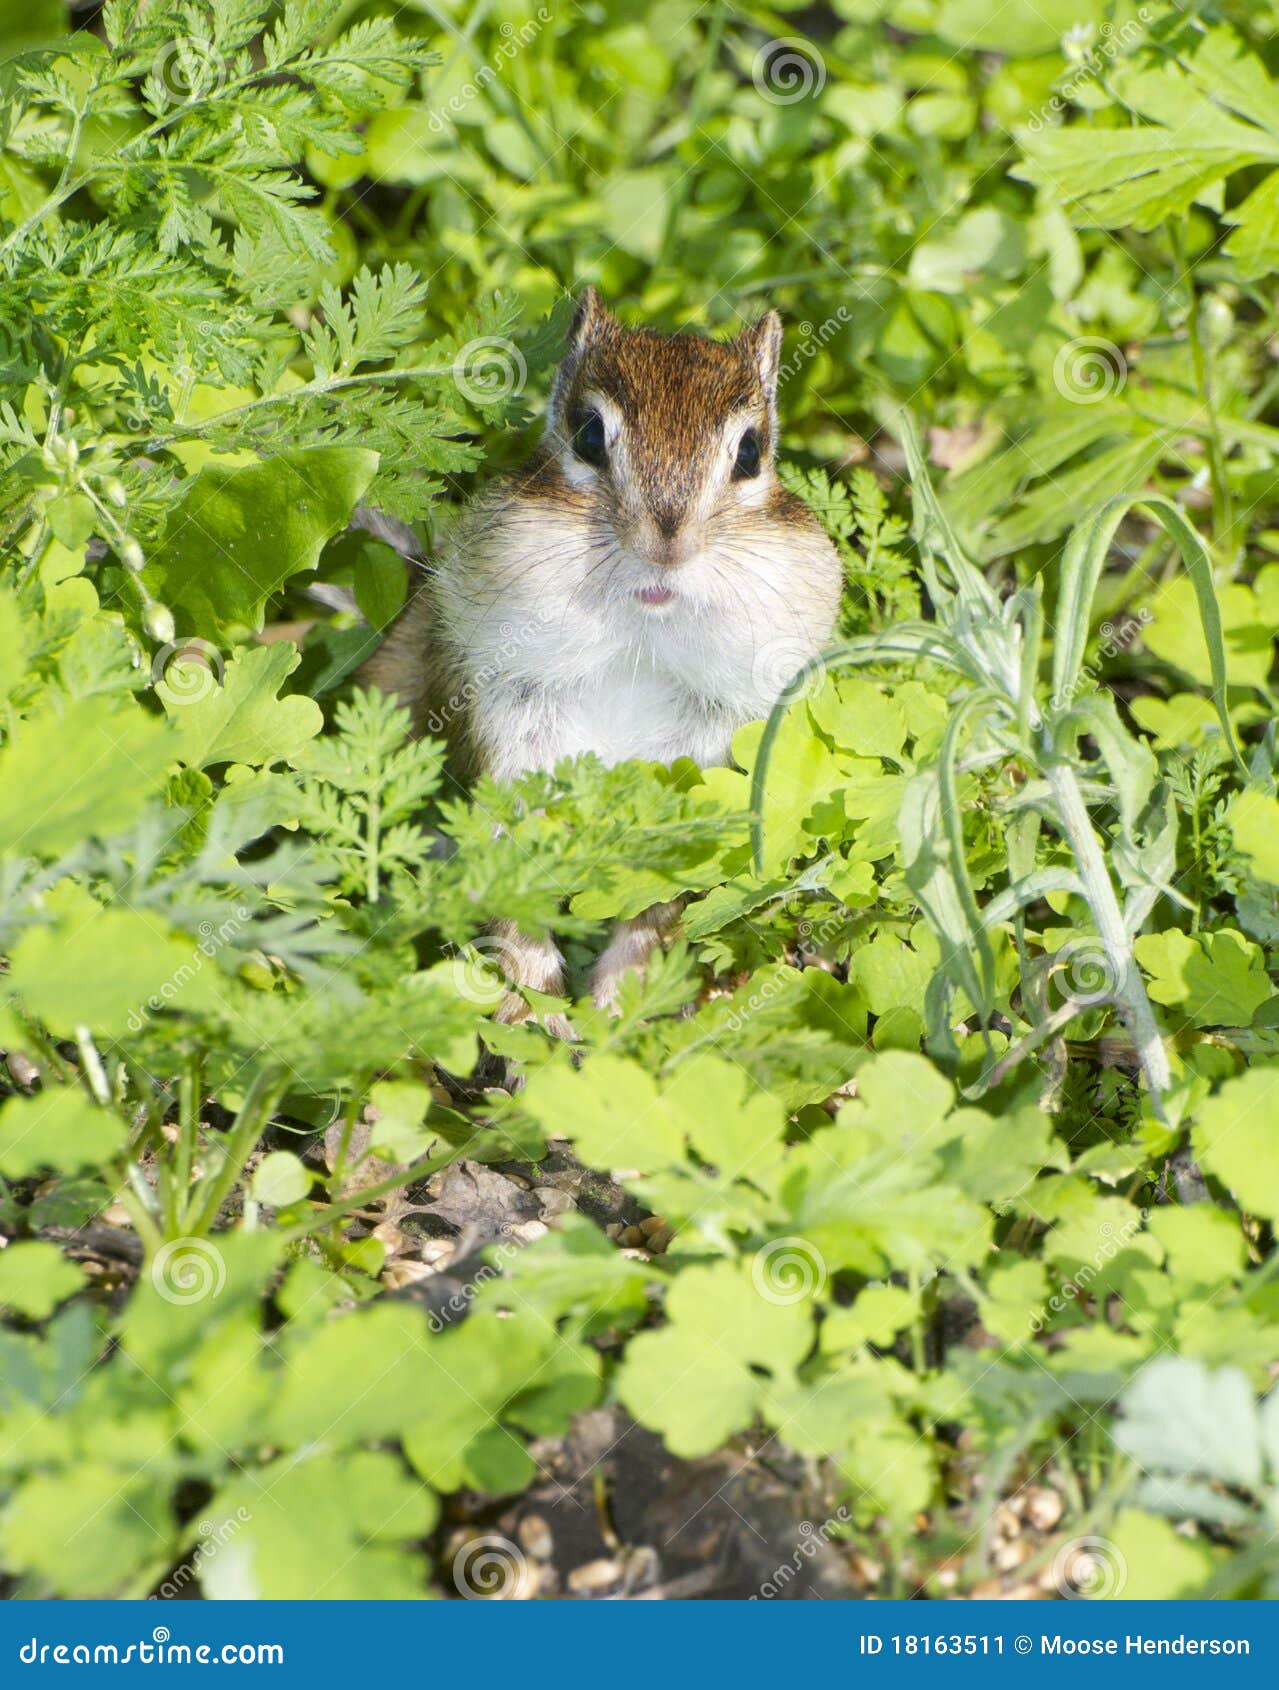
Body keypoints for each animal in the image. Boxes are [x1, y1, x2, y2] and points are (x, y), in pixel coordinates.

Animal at [365, 287, 842, 1024]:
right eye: (588, 434)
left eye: (750, 453)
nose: (666, 545)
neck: (642, 633)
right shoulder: (510, 720)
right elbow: (509, 867)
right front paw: (536, 1007)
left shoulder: (701, 756)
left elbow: (657, 901)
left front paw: (623, 1004)